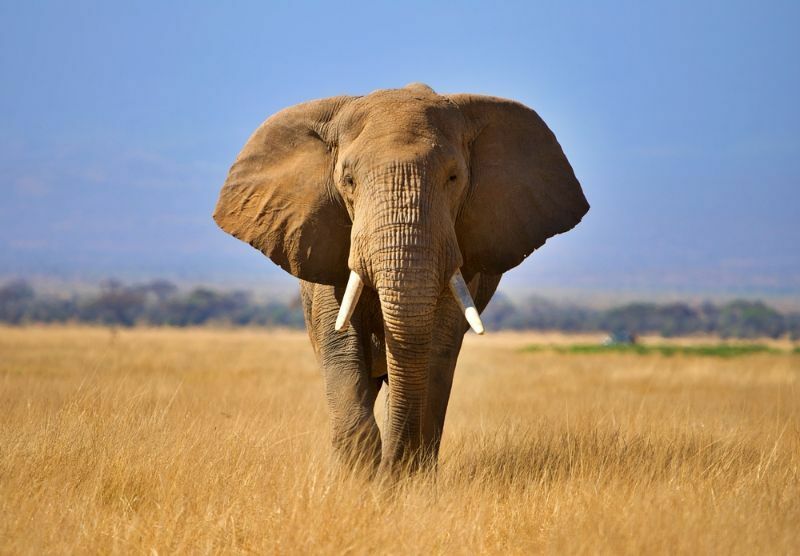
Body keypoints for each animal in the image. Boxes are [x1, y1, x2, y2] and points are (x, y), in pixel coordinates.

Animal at [212, 82, 588, 474]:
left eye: (453, 178)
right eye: (348, 181)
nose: (389, 471)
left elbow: (436, 348)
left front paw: (404, 478)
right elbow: (341, 342)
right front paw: (357, 478)